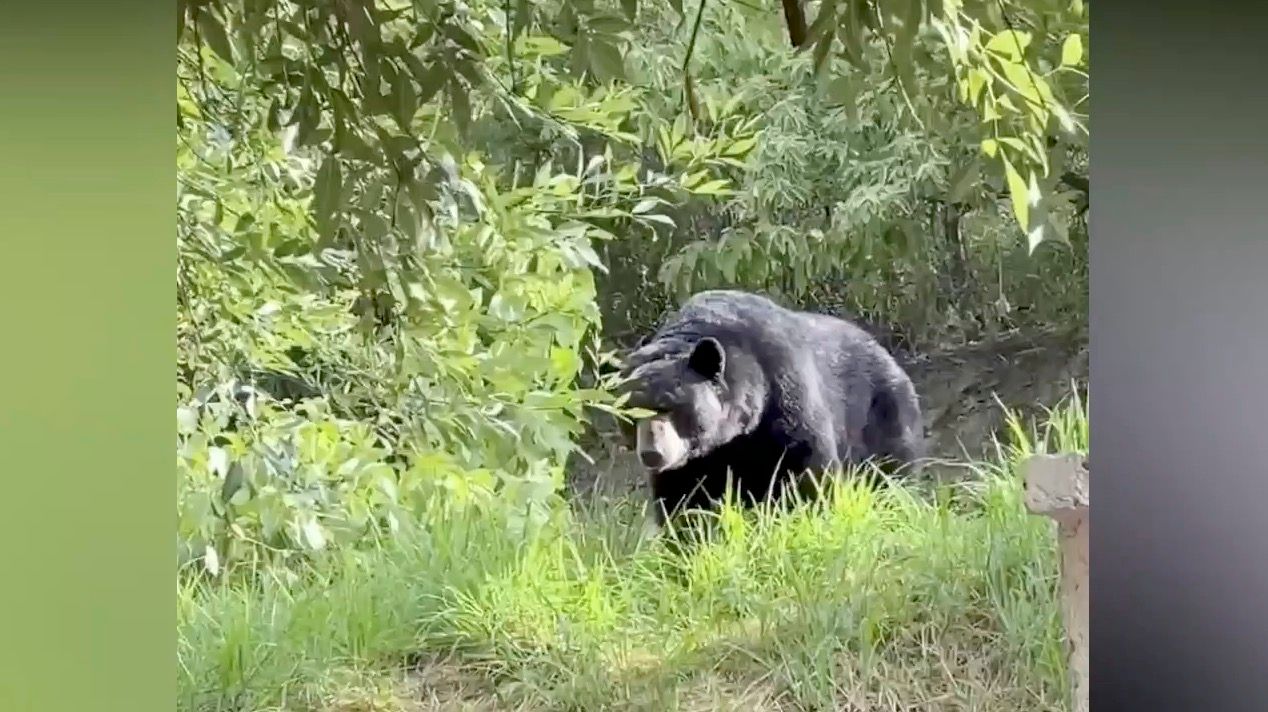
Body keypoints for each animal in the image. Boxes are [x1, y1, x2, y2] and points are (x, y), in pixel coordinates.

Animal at [618, 289, 925, 534]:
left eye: (670, 407)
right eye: (630, 415)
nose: (652, 454)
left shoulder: (785, 397)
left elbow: (808, 469)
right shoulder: (691, 462)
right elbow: (682, 502)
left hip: (883, 414)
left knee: (891, 473)